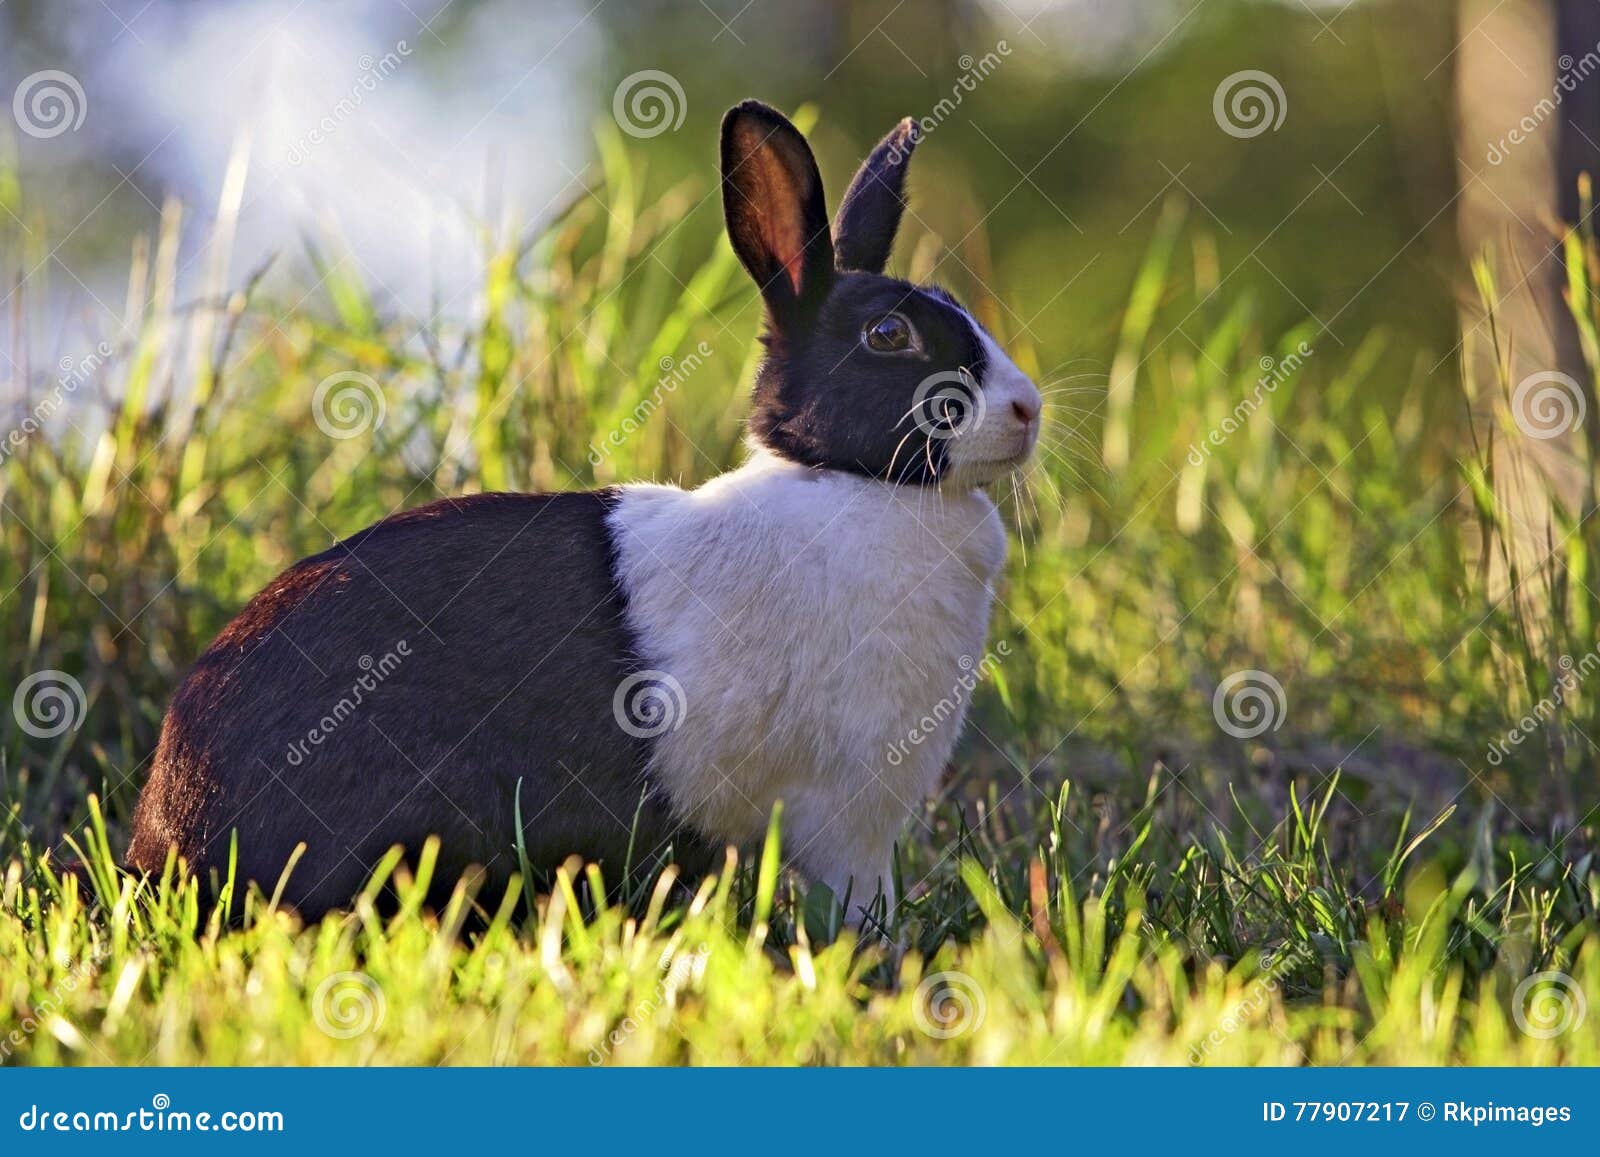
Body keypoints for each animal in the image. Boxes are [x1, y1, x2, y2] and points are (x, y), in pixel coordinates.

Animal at [127, 99, 1042, 922]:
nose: (1029, 408)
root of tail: (171, 835)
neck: (850, 480)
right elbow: (853, 897)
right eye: (890, 335)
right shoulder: (848, 811)